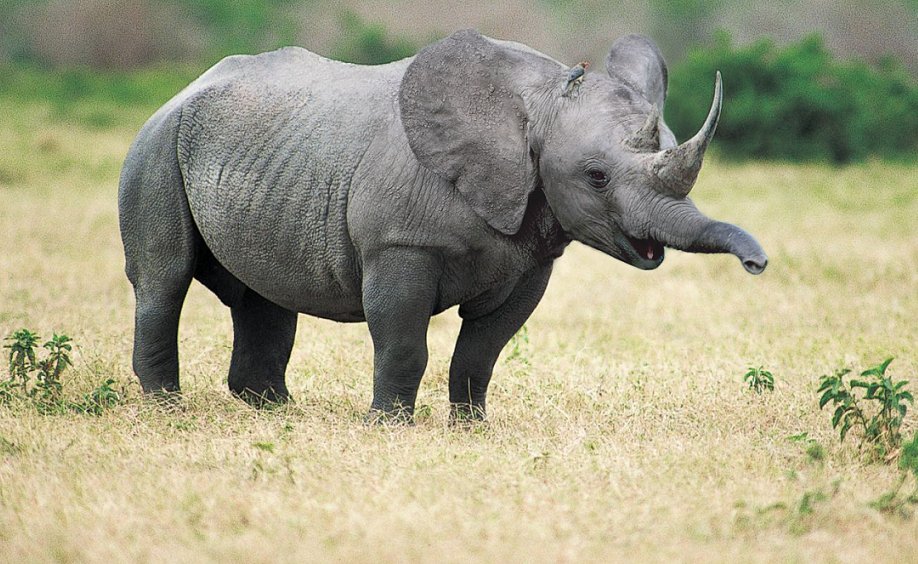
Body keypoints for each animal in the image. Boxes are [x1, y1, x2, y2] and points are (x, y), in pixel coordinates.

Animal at [118, 29, 767, 421]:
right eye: (597, 177)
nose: (757, 263)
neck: (536, 106)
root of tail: (185, 88)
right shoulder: (400, 245)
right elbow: (404, 341)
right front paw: (389, 428)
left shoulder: (531, 259)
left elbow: (484, 349)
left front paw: (471, 428)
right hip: (155, 145)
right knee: (164, 280)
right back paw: (168, 413)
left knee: (264, 293)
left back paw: (276, 413)